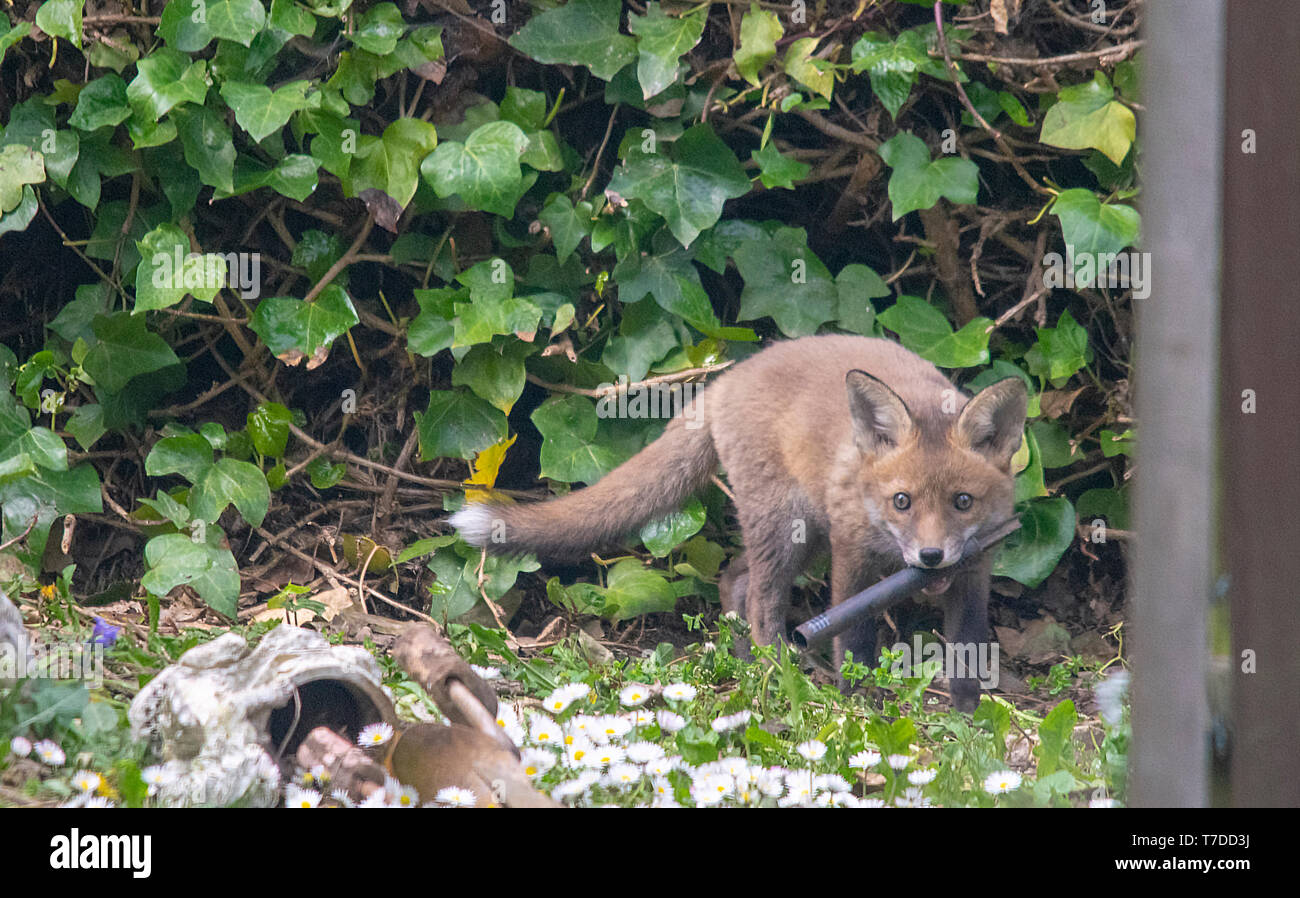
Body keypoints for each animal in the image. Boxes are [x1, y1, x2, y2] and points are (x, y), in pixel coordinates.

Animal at [450, 334, 1028, 711]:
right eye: (901, 501)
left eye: (962, 502)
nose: (930, 557)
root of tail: (726, 379)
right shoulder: (852, 553)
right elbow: (855, 639)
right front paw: (860, 708)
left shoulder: (975, 568)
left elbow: (969, 648)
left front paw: (970, 721)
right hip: (788, 526)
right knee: (761, 601)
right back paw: (778, 674)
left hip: (801, 536)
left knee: (736, 580)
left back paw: (750, 665)